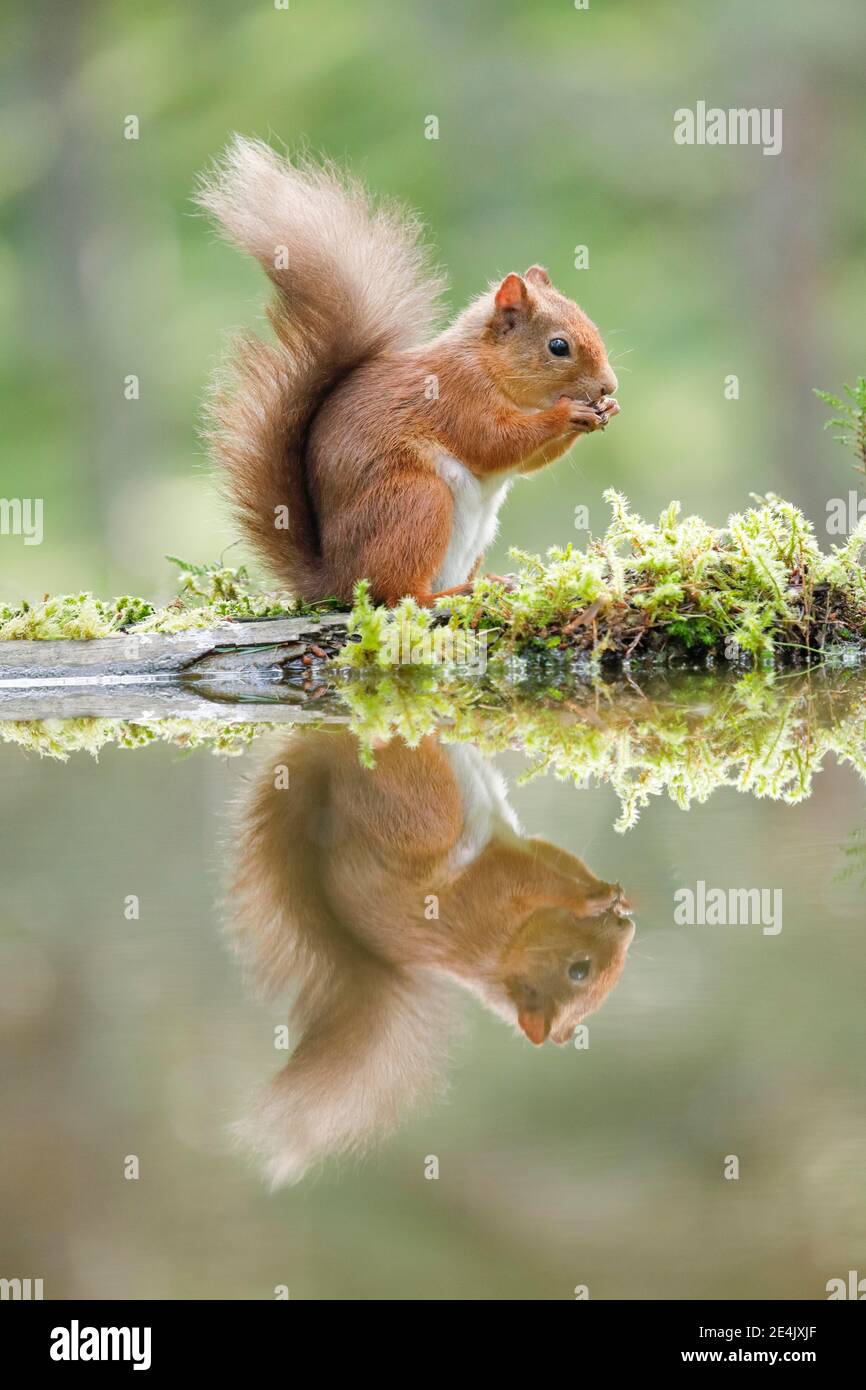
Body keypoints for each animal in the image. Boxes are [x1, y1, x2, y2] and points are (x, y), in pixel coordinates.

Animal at [197, 136, 620, 606]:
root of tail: (337, 582)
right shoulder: (457, 395)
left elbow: (525, 462)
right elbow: (493, 443)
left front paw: (605, 410)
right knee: (400, 594)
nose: (609, 385)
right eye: (558, 346)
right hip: (418, 501)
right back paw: (456, 594)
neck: (489, 367)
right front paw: (568, 413)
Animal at [228, 727, 634, 1185]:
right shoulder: (496, 891)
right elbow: (546, 875)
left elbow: (556, 858)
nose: (627, 930)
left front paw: (613, 897)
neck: (511, 946)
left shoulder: (520, 853)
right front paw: (595, 898)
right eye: (579, 970)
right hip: (427, 809)